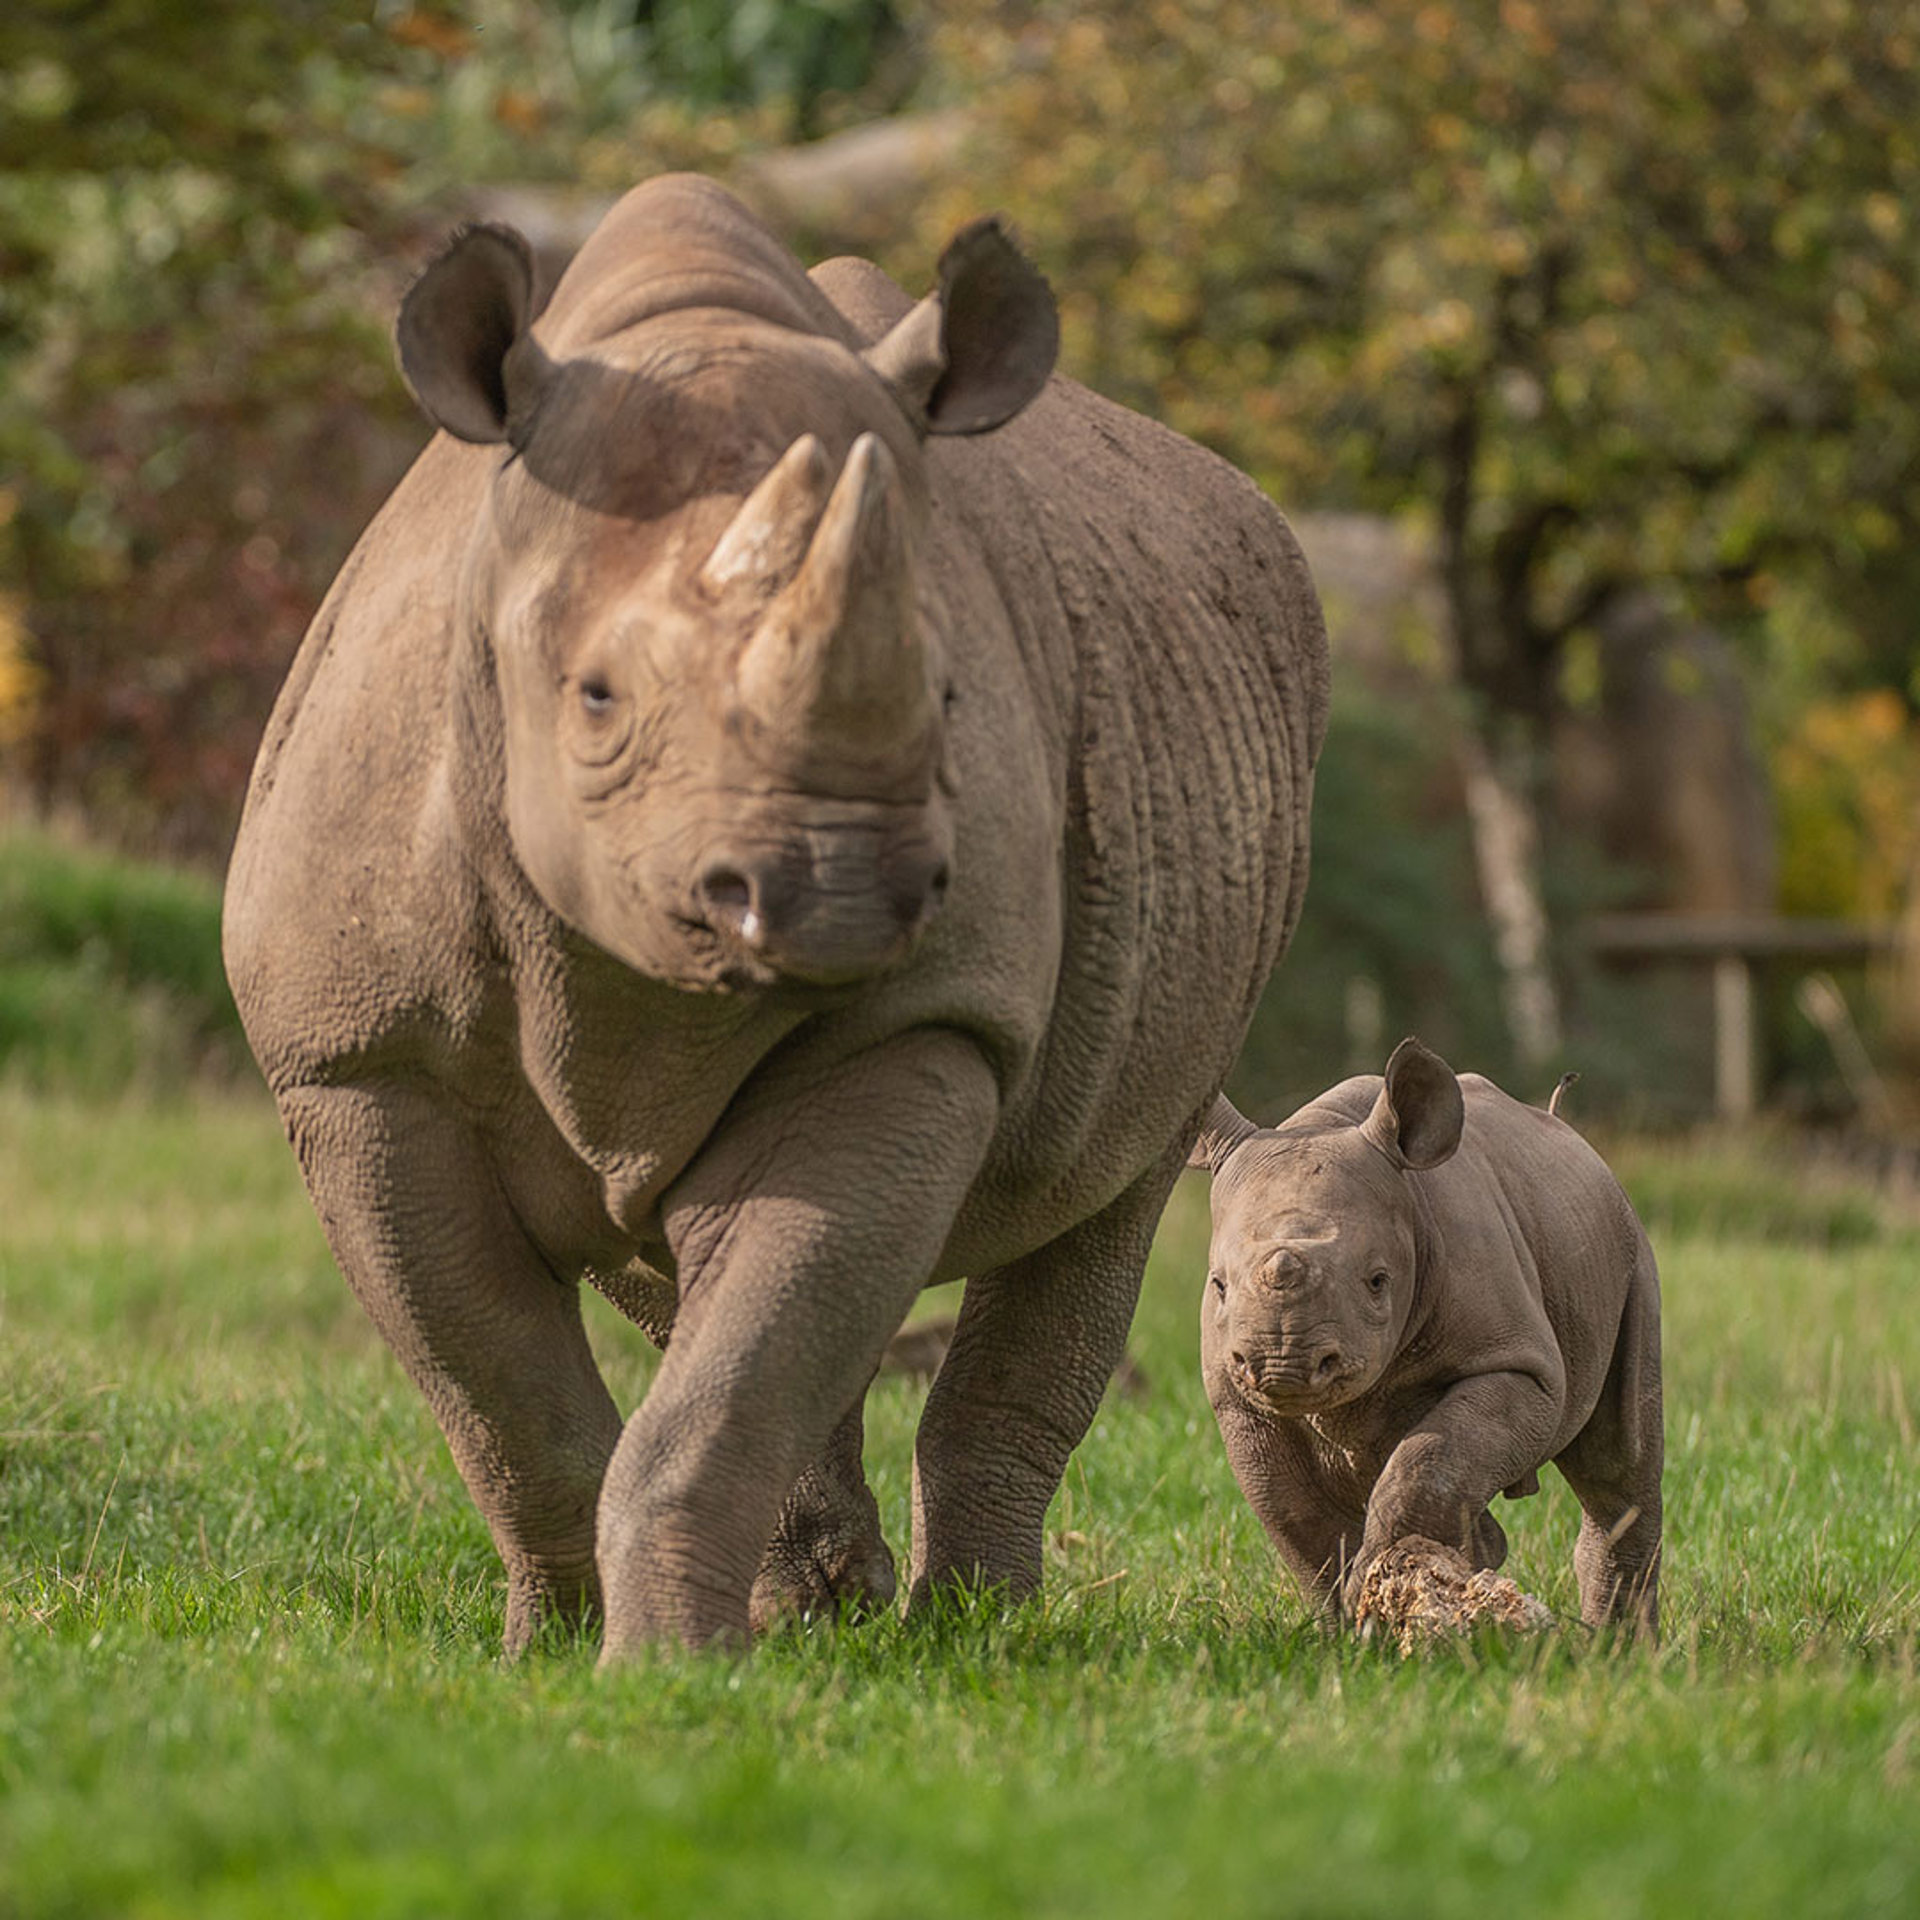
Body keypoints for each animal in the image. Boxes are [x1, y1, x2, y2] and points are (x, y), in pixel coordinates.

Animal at [223, 174, 1329, 1658]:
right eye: (595, 699)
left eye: (947, 695)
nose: (840, 891)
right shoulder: (355, 1059)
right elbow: (501, 1388)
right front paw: (551, 1651)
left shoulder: (926, 1016)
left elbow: (735, 1366)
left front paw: (664, 1667)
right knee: (679, 1262)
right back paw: (824, 1611)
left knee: (1115, 1179)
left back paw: (966, 1634)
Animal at [1192, 1039, 1662, 1632]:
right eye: (1219, 1285)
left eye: (1377, 1281)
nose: (1283, 1365)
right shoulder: (1237, 1400)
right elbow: (1294, 1513)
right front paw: (1350, 1625)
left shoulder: (1517, 1364)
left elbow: (1430, 1458)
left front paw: (1381, 1590)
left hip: (1630, 1252)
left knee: (1618, 1465)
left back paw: (1617, 1644)